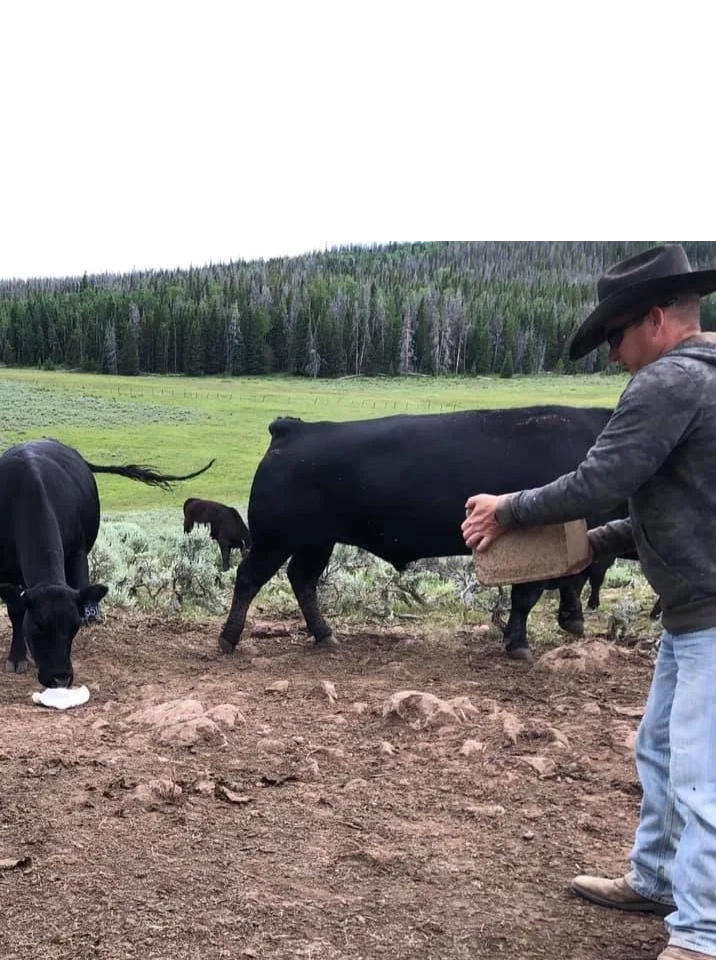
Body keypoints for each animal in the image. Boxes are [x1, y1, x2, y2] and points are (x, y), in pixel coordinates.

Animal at [0, 439, 214, 688]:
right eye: (38, 626)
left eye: (73, 627)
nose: (60, 677)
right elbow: (15, 610)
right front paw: (17, 657)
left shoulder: (77, 551)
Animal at [217, 405, 630, 662]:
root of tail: (294, 428)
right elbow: (529, 597)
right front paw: (520, 644)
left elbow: (572, 578)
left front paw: (570, 620)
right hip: (276, 540)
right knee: (249, 577)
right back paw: (228, 638)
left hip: (316, 542)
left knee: (302, 579)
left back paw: (325, 634)